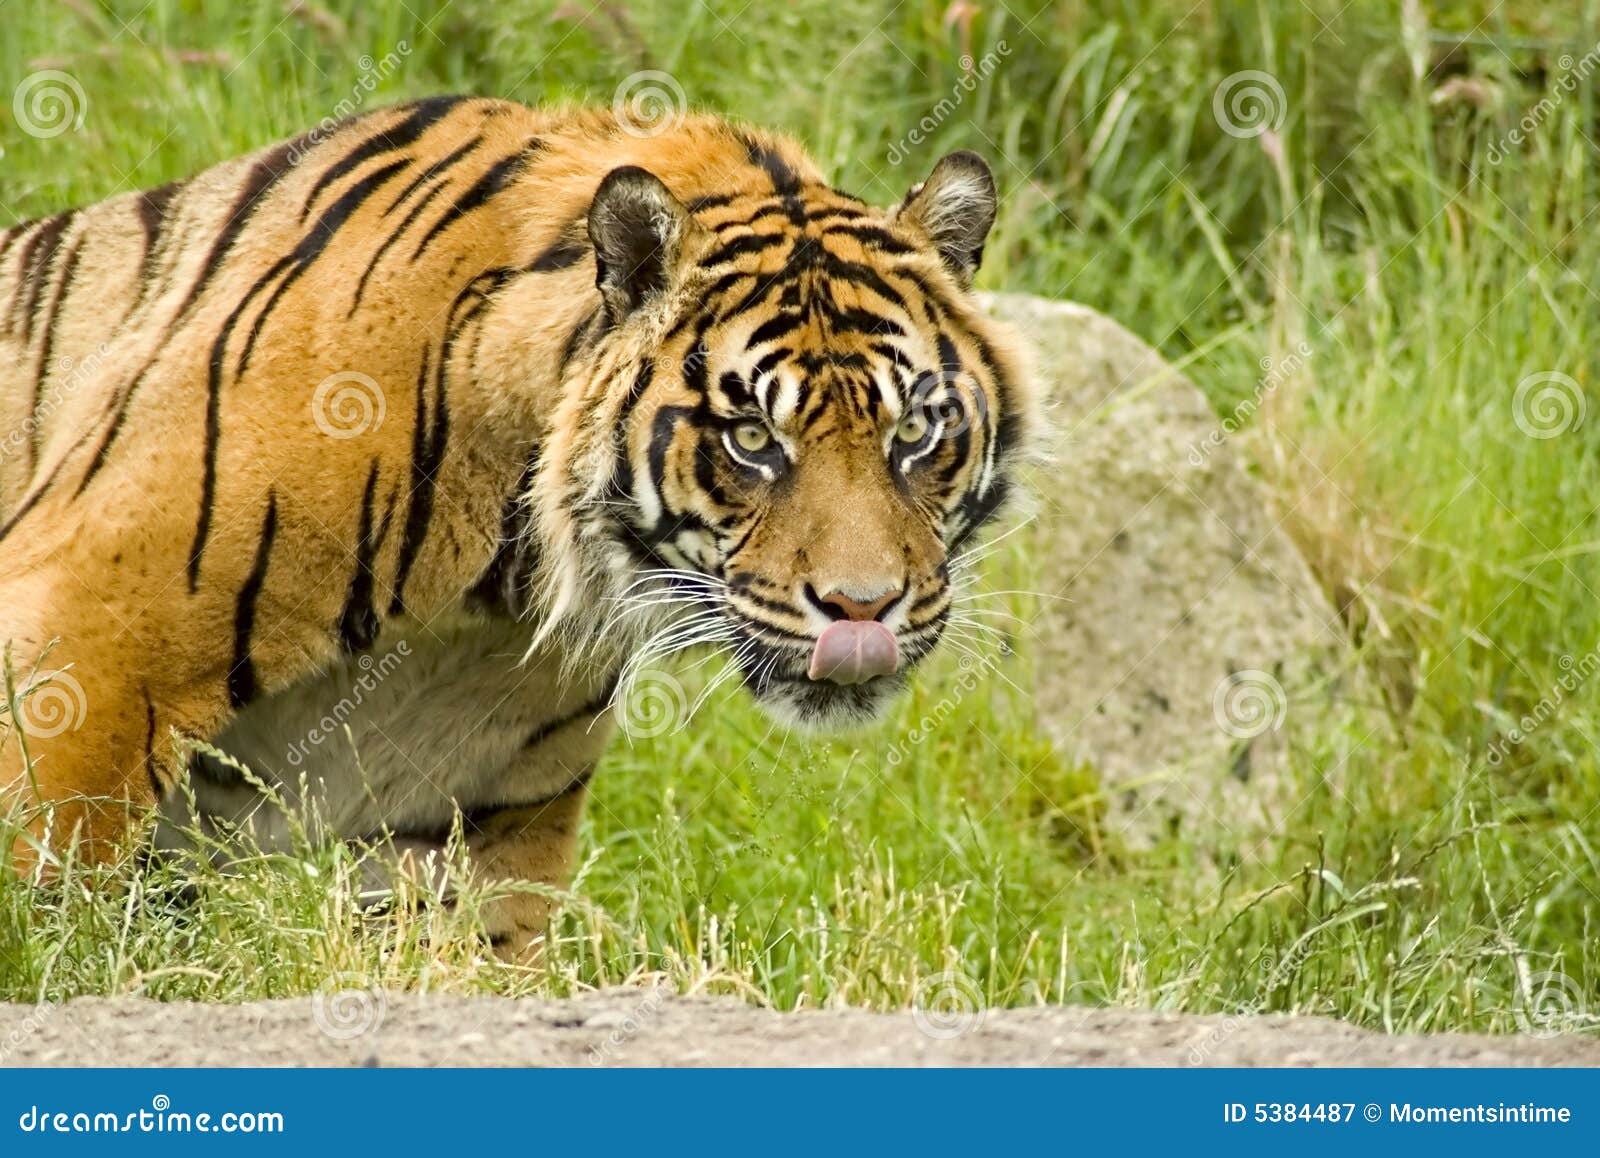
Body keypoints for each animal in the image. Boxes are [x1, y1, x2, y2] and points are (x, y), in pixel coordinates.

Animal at [0, 96, 1033, 956]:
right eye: (751, 439)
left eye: (914, 431)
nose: (864, 610)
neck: (496, 588)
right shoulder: (90, 635)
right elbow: (46, 887)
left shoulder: (469, 810)